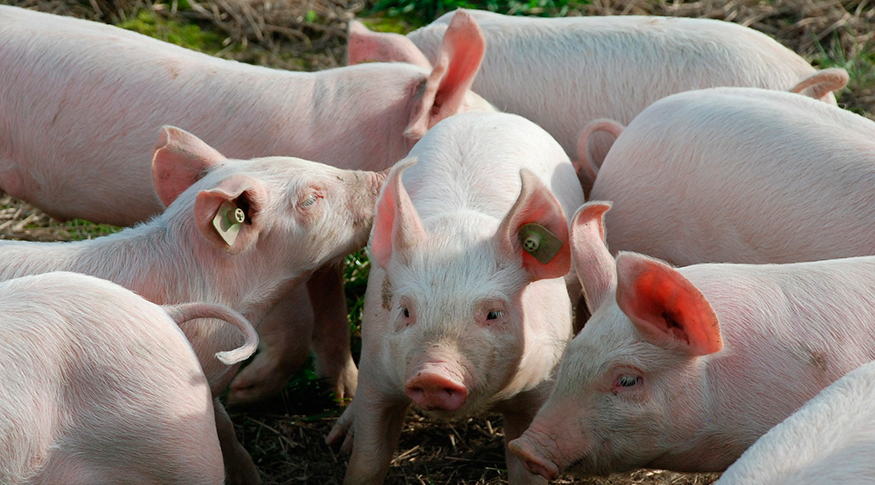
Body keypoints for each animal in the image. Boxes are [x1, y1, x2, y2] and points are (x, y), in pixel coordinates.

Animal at [327, 112, 585, 485]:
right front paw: (351, 453)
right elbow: (368, 458)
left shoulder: (543, 380)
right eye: (405, 310)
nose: (433, 375)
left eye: (494, 314)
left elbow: (525, 466)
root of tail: (489, 115)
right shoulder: (376, 366)